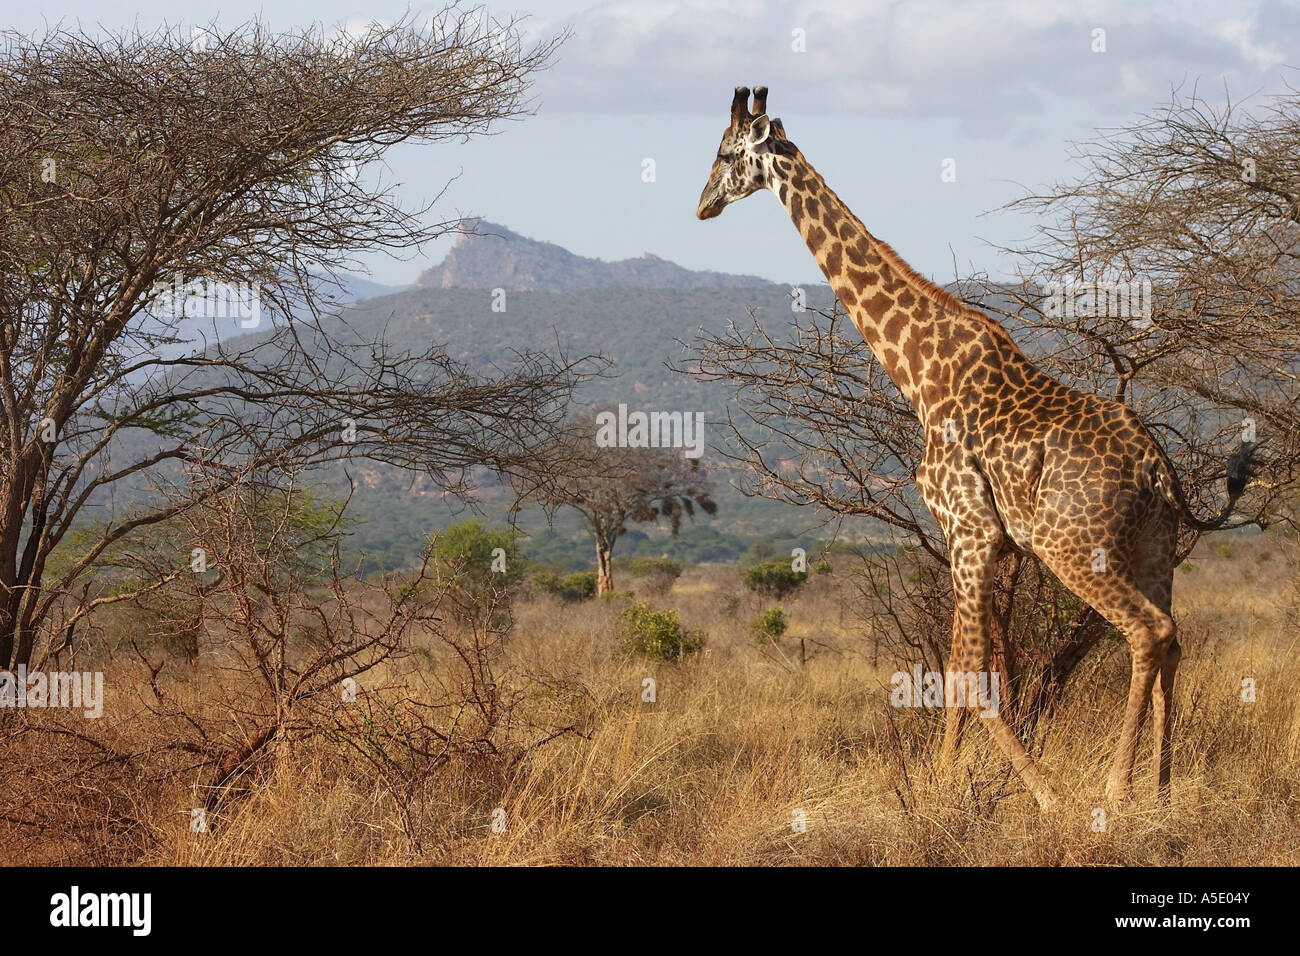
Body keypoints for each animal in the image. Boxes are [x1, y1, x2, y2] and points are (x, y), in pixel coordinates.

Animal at [697, 86, 1255, 811]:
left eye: (725, 153)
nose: (702, 203)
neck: (919, 372)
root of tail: (1157, 468)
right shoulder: (986, 542)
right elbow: (970, 671)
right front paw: (954, 784)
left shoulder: (967, 530)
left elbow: (964, 673)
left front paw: (1011, 794)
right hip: (1154, 548)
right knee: (1174, 639)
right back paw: (1159, 790)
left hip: (1074, 545)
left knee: (1146, 632)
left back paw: (1114, 791)